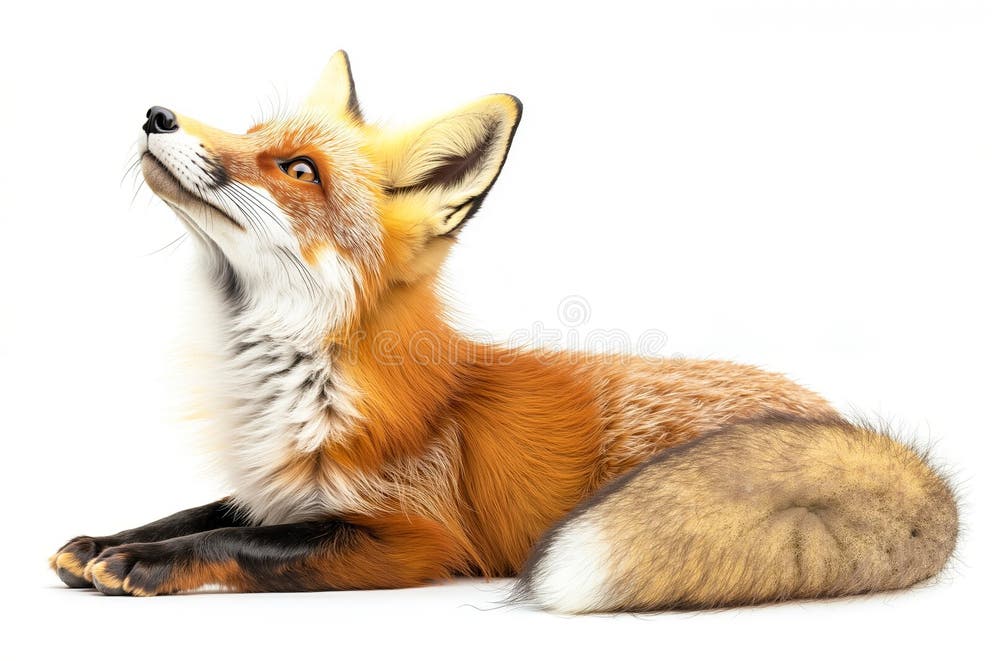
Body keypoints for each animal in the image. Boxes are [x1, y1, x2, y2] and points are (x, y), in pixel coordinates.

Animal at [50, 50, 958, 612]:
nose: (157, 114)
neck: (284, 381)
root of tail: (848, 426)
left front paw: (144, 565)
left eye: (299, 170)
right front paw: (105, 540)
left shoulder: (410, 538)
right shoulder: (278, 484)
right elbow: (195, 510)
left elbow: (248, 543)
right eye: (248, 133)